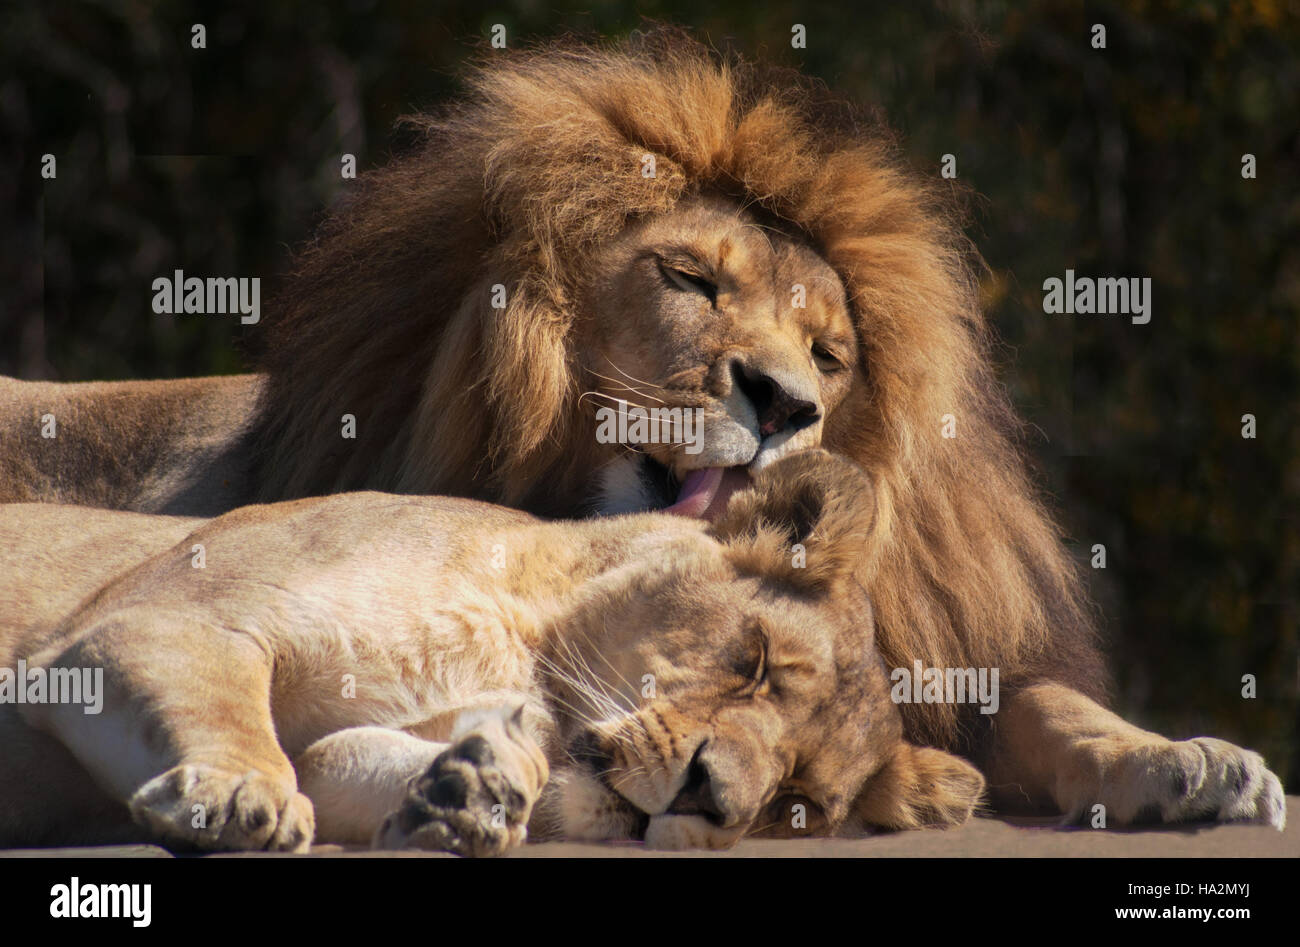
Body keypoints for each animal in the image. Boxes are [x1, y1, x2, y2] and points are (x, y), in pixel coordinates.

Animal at [0, 452, 984, 854]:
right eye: (756, 662)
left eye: (794, 803)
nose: (713, 798)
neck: (520, 634)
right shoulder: (157, 619)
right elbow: (231, 718)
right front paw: (243, 796)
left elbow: (337, 755)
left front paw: (467, 789)